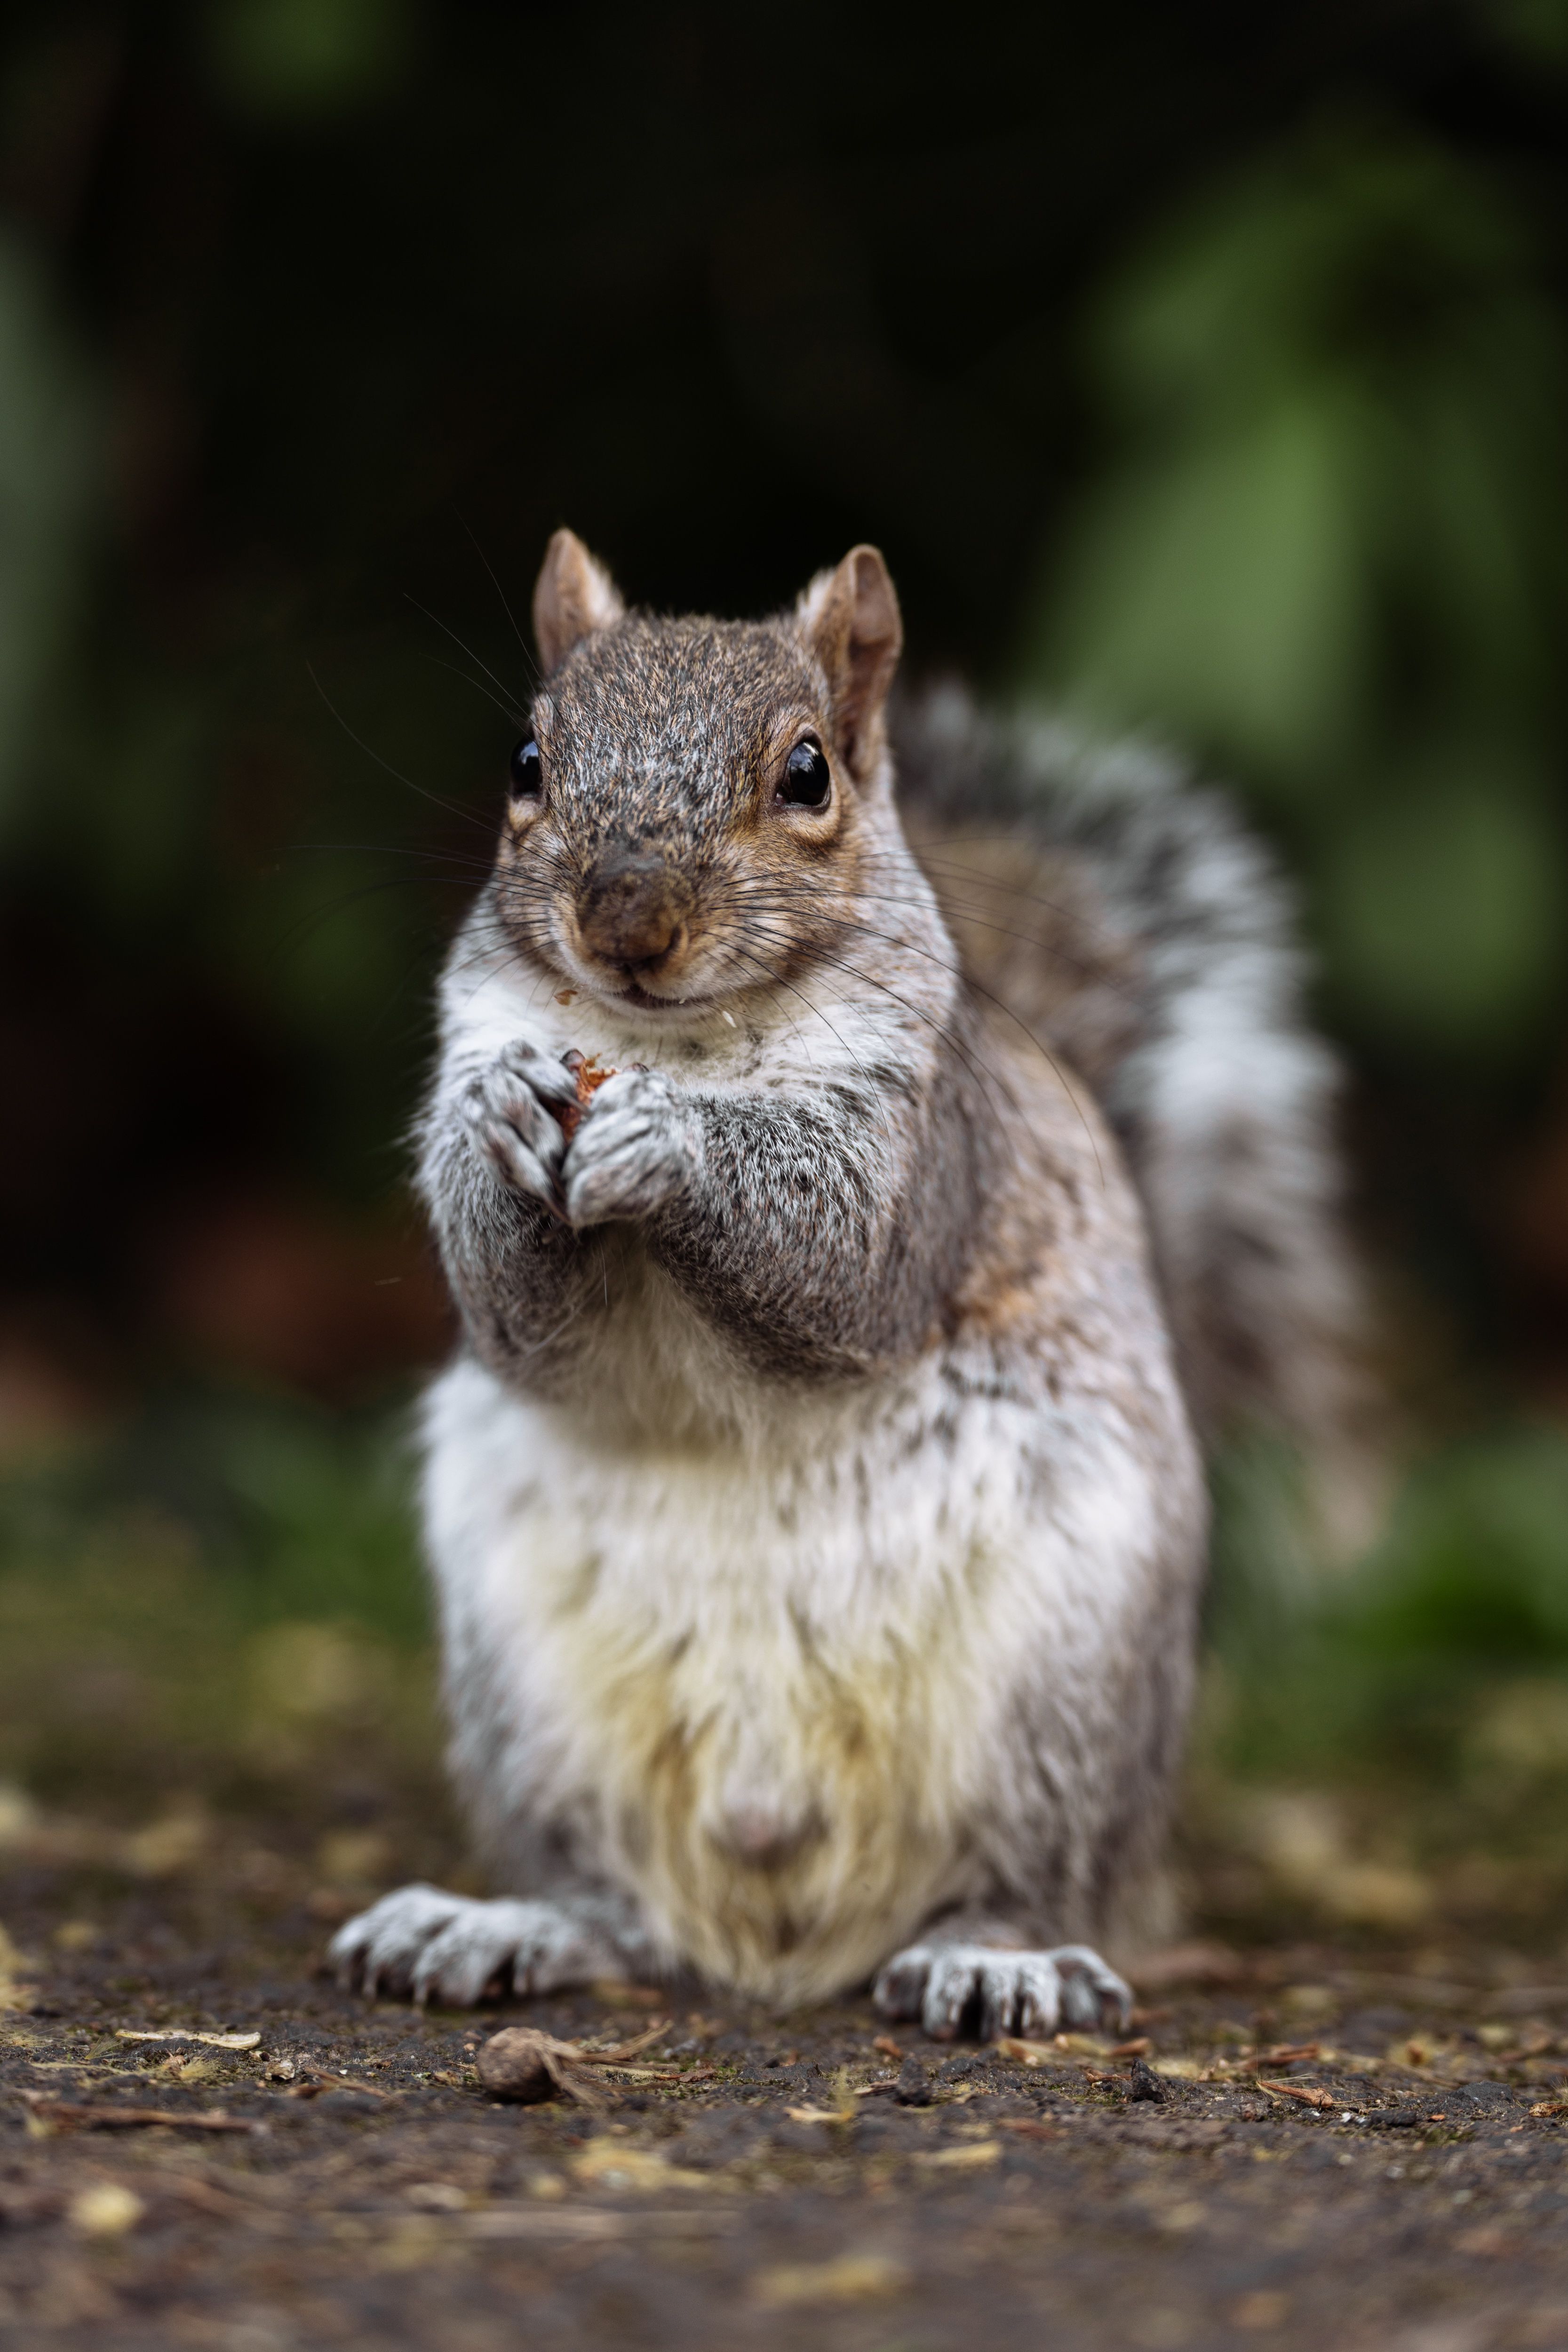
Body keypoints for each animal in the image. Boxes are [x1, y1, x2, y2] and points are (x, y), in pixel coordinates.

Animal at [331, 531, 1358, 2039]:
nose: (625, 921)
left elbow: (834, 1272)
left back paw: (993, 1957)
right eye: (525, 760)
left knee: (1024, 1873)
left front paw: (671, 1143)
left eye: (806, 774)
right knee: (614, 1905)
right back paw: (501, 1923)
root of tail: (787, 1931)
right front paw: (496, 1123)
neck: (679, 1043)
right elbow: (522, 1327)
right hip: (525, 1686)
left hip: (1063, 1679)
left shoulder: (925, 1153)